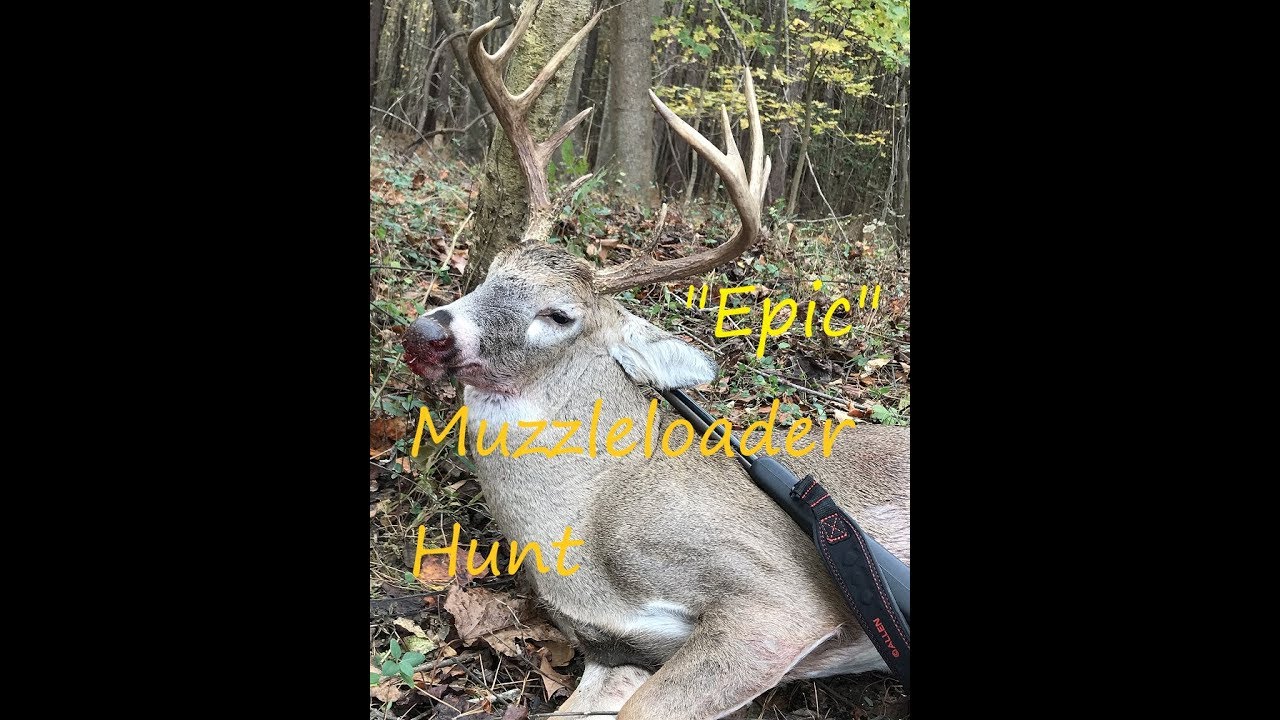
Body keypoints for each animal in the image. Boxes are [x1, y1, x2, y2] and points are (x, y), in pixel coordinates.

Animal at [400, 4, 909, 718]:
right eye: (493, 271)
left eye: (560, 314)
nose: (426, 330)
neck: (583, 528)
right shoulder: (612, 650)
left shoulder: (779, 597)